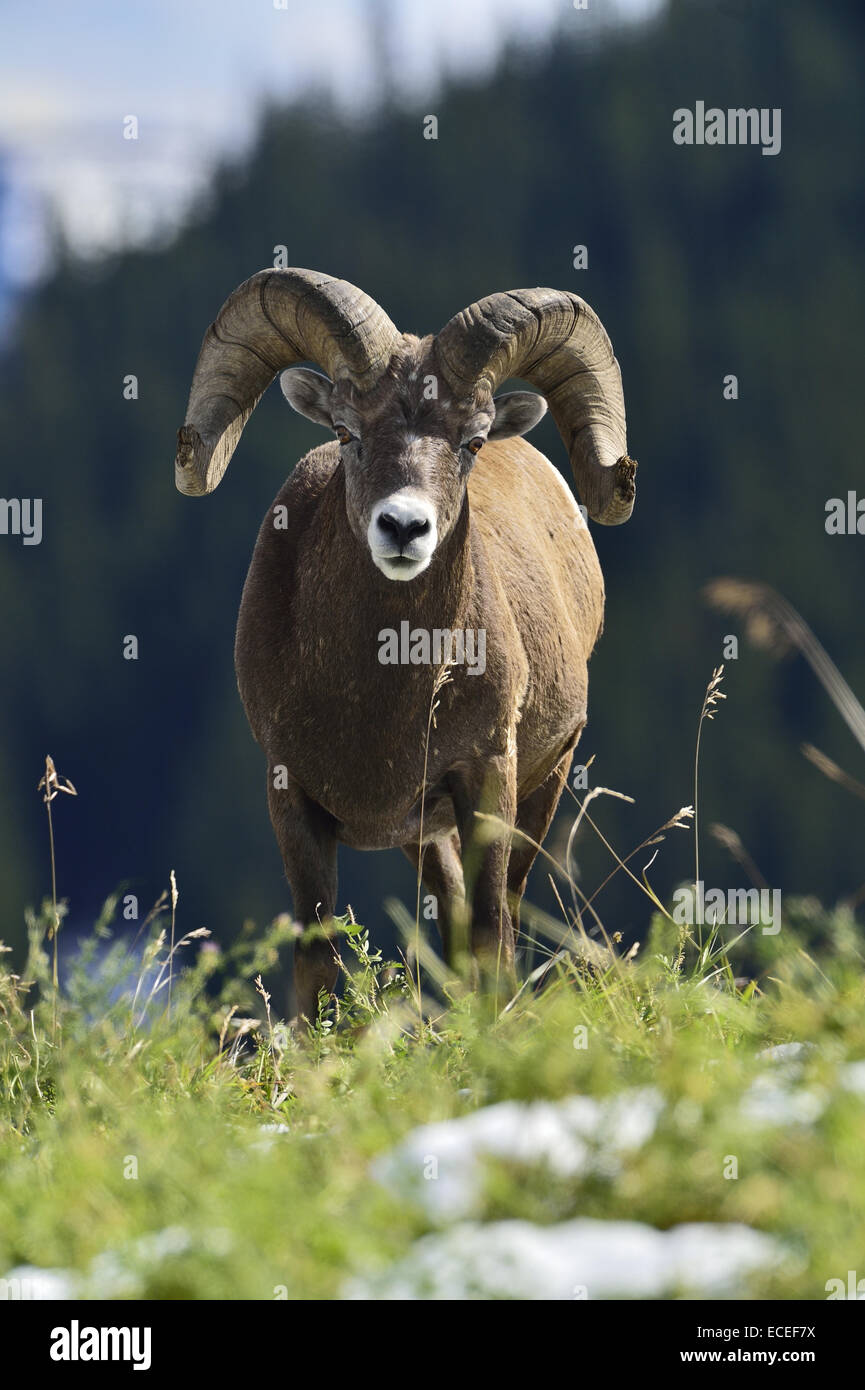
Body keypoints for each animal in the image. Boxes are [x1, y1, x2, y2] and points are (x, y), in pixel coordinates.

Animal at [175, 269, 637, 1024]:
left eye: (472, 441)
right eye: (345, 431)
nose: (402, 528)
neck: (379, 691)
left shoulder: (486, 777)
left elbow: (490, 940)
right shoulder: (292, 801)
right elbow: (317, 967)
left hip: (542, 785)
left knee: (502, 918)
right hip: (425, 837)